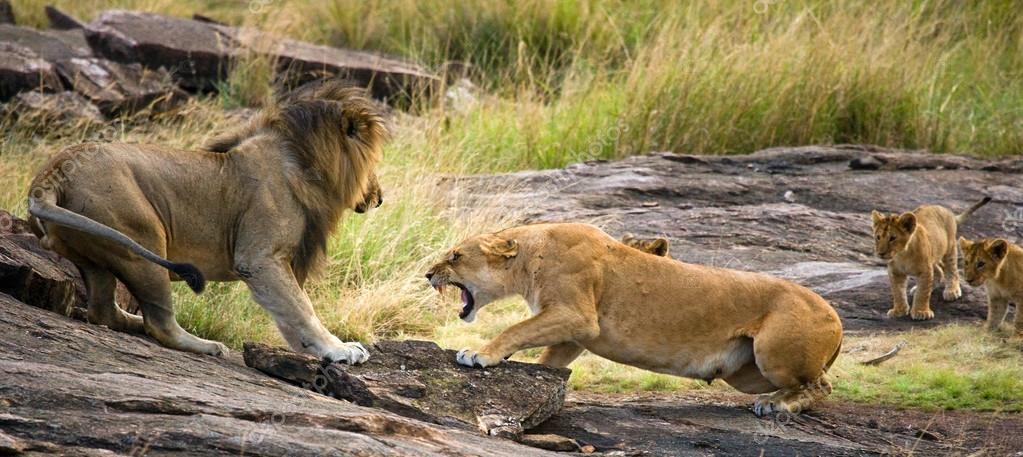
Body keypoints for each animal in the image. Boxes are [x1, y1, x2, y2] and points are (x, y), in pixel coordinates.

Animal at [26, 81, 386, 363]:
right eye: (372, 165)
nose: (380, 198)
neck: (304, 164)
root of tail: (51, 175)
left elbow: (289, 314)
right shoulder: (259, 258)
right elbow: (300, 308)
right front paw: (339, 350)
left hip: (97, 254)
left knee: (103, 312)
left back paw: (134, 324)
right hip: (143, 239)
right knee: (159, 323)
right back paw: (207, 346)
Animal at [425, 223, 843, 415]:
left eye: (455, 256)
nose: (428, 274)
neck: (530, 256)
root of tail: (836, 318)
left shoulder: (577, 315)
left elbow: (517, 329)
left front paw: (480, 354)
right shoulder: (573, 333)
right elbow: (547, 357)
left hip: (774, 352)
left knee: (822, 385)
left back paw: (778, 405)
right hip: (744, 373)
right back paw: (775, 400)